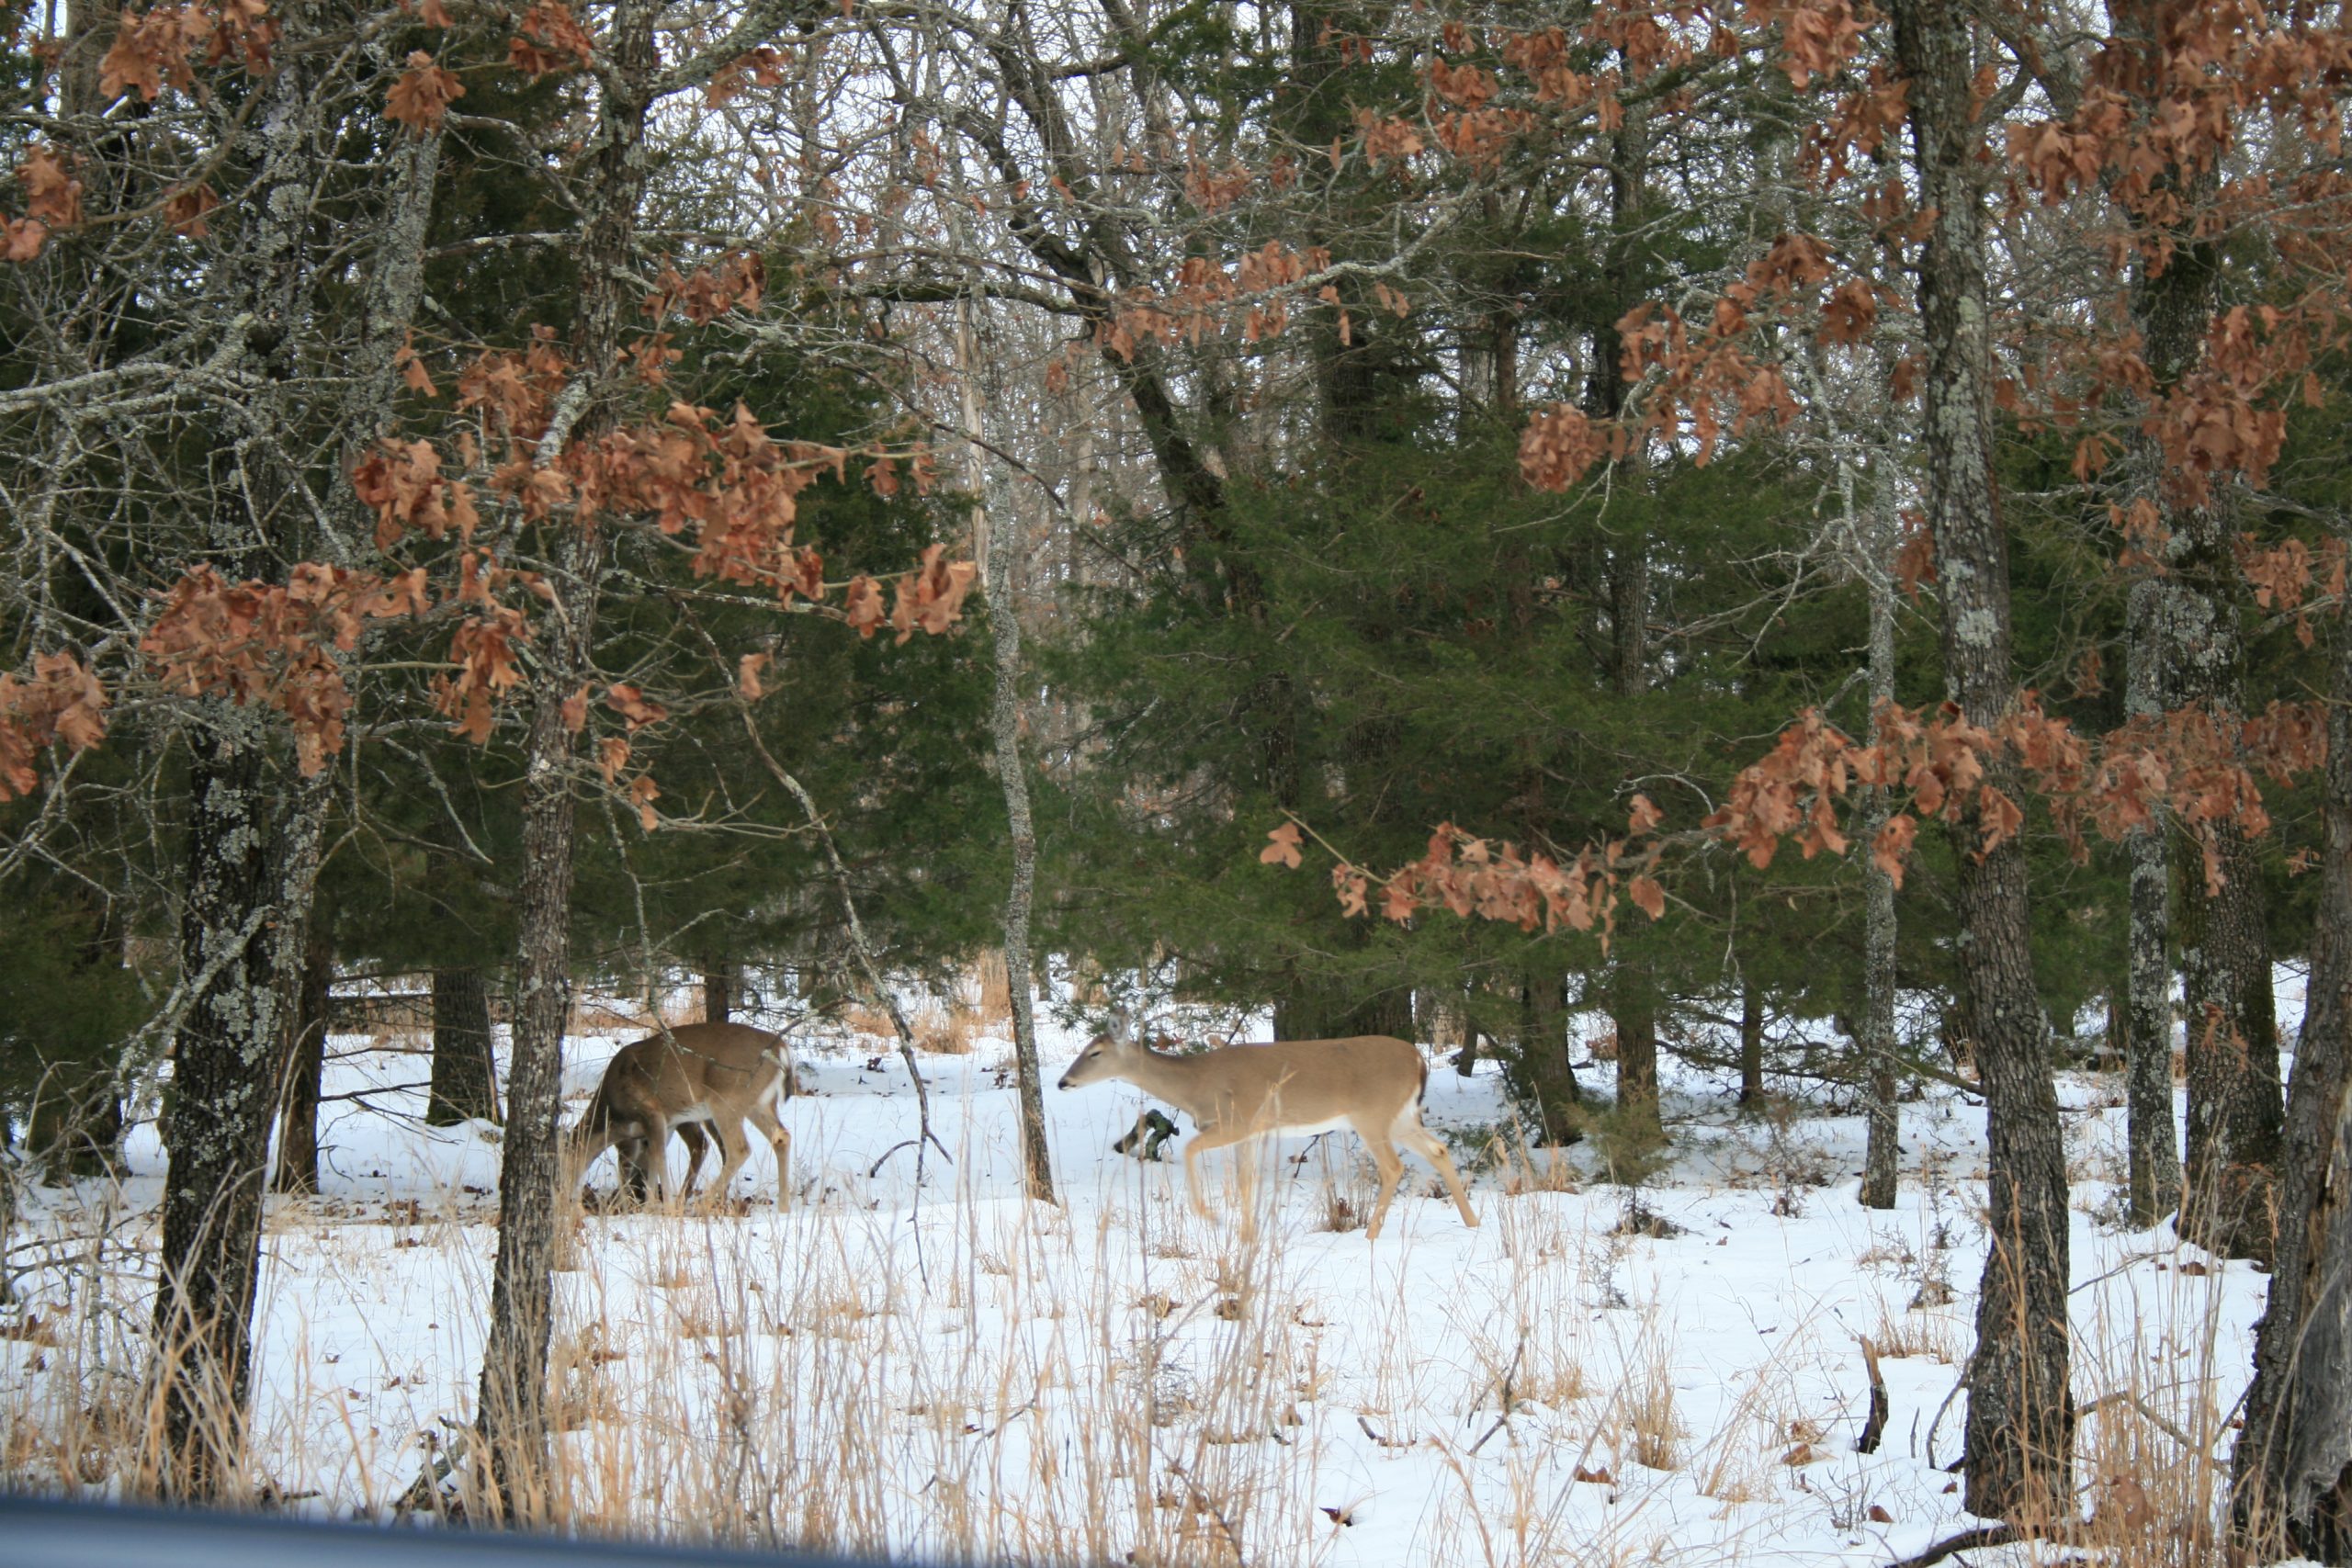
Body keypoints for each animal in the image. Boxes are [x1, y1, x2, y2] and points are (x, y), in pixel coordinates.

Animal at [565, 1021, 793, 1206]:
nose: (563, 1191)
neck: (612, 1113)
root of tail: (781, 1049)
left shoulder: (652, 1111)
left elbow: (658, 1158)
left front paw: (665, 1208)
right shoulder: (667, 1123)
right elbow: (653, 1160)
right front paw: (649, 1208)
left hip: (726, 1099)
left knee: (738, 1148)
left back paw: (704, 1204)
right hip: (760, 1103)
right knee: (782, 1136)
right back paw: (784, 1207)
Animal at [1057, 1024, 1478, 1241]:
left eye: (1095, 1053)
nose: (1063, 1082)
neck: (1195, 1085)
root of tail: (1419, 1059)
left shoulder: (1237, 1121)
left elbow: (1191, 1149)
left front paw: (1209, 1214)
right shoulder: (1252, 1134)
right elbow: (1246, 1181)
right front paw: (1246, 1234)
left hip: (1373, 1113)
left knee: (1393, 1167)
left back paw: (1371, 1234)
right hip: (1402, 1117)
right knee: (1439, 1150)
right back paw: (1472, 1222)